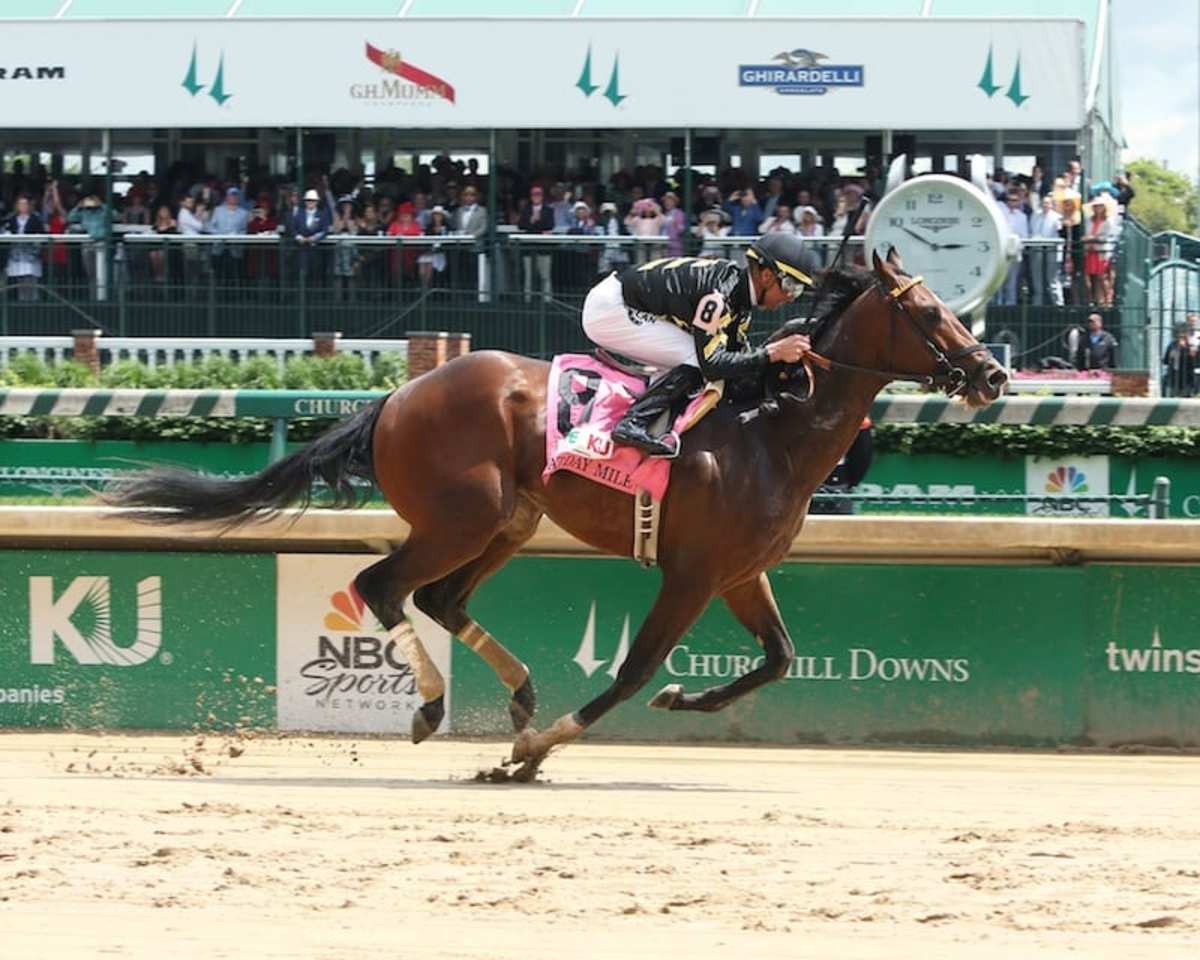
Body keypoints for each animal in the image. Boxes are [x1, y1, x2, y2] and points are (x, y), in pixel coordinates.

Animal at [108, 250, 1007, 778]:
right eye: (929, 312)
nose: (992, 374)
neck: (771, 432)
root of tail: (399, 394)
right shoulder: (692, 572)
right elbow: (635, 667)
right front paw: (534, 753)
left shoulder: (741, 573)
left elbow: (779, 659)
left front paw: (680, 702)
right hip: (462, 517)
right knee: (382, 585)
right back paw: (437, 708)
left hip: (509, 520)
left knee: (437, 598)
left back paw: (513, 694)